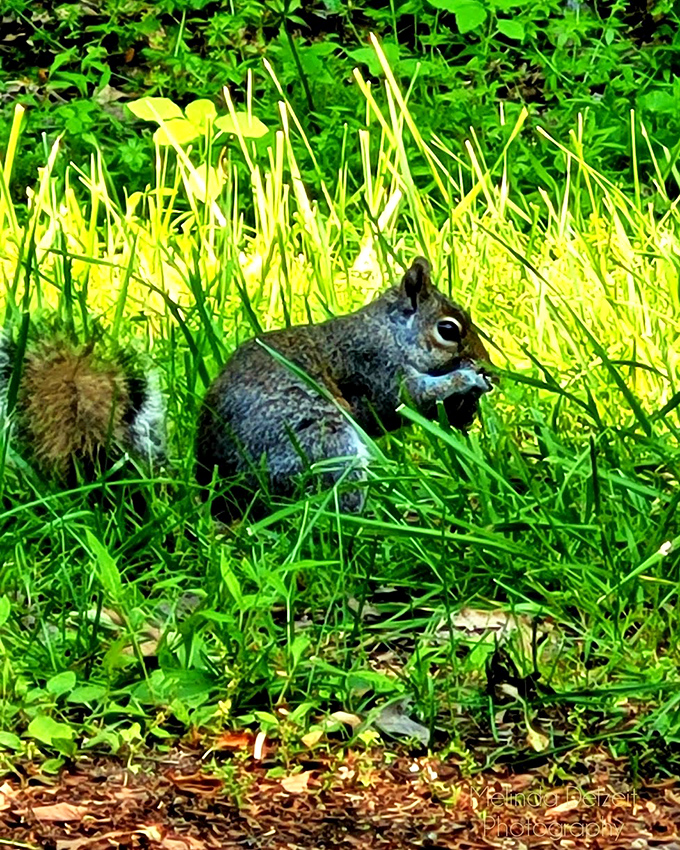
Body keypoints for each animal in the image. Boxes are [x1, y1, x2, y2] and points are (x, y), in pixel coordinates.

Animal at [196, 257, 493, 519]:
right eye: (448, 330)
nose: (490, 368)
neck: (388, 334)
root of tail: (226, 502)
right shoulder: (377, 371)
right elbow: (410, 398)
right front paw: (468, 378)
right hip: (327, 447)